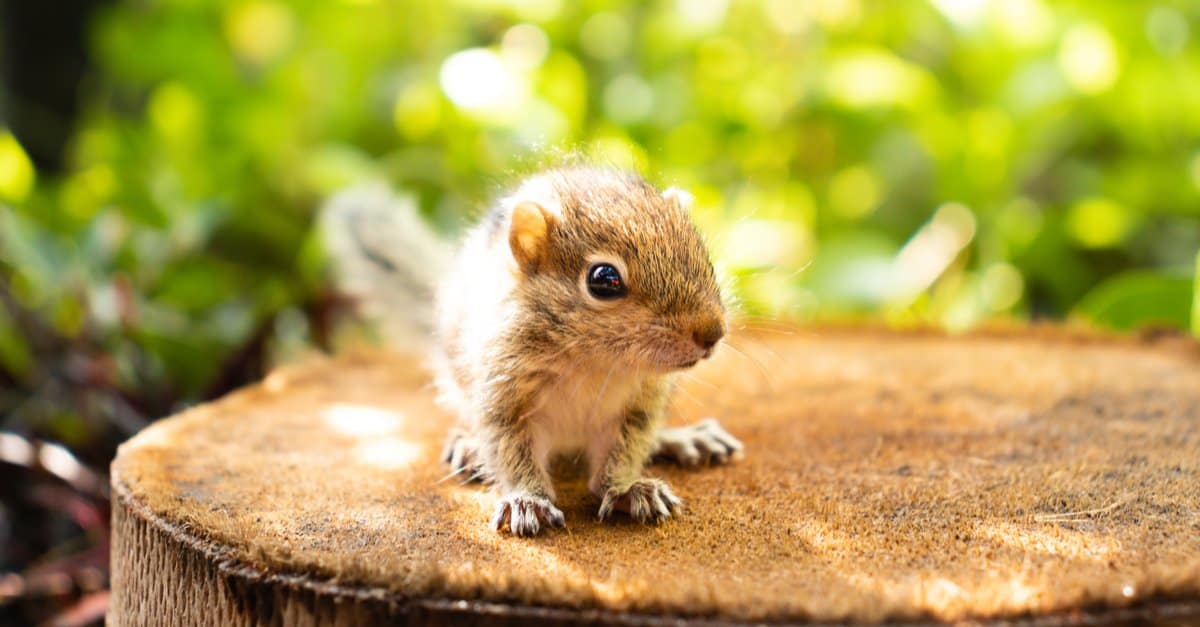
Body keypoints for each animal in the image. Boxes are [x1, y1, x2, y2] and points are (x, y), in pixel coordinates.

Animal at [323, 166, 743, 537]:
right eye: (604, 279)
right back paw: (469, 447)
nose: (712, 332)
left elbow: (624, 450)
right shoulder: (505, 392)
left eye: (702, 253)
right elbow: (510, 448)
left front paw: (626, 489)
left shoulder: (640, 405)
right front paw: (528, 501)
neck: (595, 362)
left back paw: (684, 438)